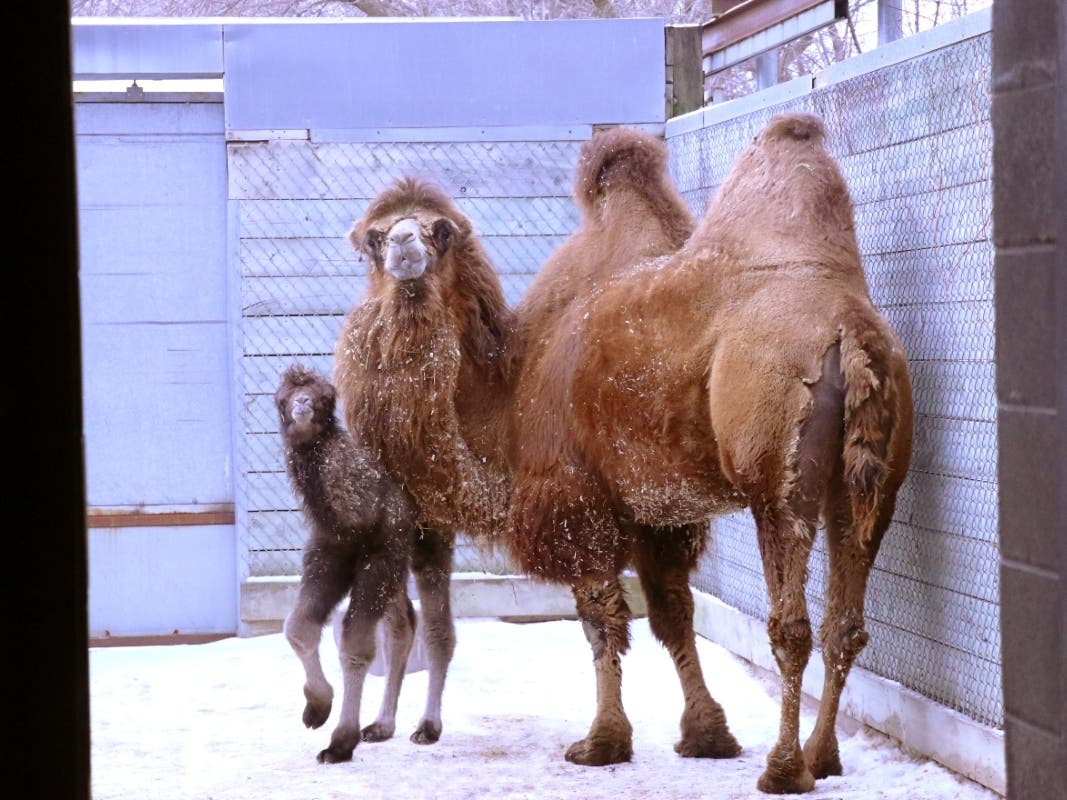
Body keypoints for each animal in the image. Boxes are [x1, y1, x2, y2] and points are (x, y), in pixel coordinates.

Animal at [505, 113, 914, 794]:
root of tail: (848, 331)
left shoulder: (576, 491)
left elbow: (601, 616)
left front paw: (601, 744)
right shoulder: (657, 511)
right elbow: (666, 610)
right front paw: (700, 737)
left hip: (779, 483)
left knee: (791, 627)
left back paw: (784, 769)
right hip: (872, 486)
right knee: (846, 625)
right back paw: (823, 756)